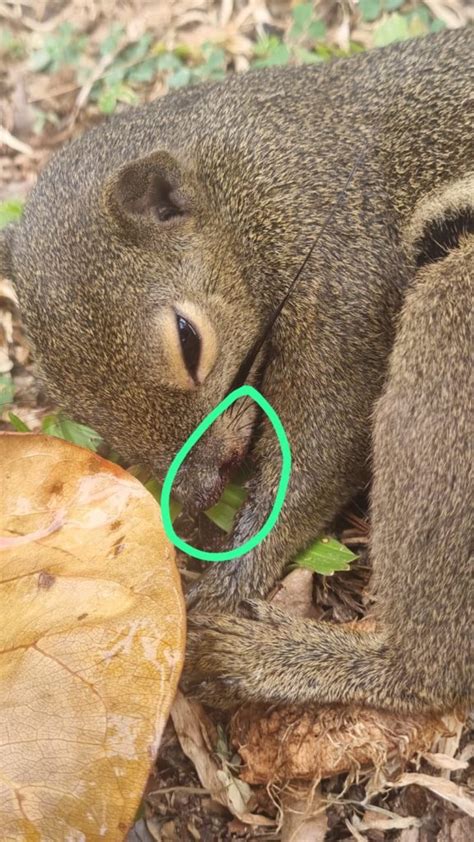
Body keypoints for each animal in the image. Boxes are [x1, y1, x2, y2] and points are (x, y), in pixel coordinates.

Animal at [1, 28, 472, 713]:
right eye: (78, 409)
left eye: (188, 340)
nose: (197, 496)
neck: (246, 182)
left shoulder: (344, 279)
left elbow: (320, 452)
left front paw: (225, 581)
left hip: (450, 321)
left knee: (434, 675)